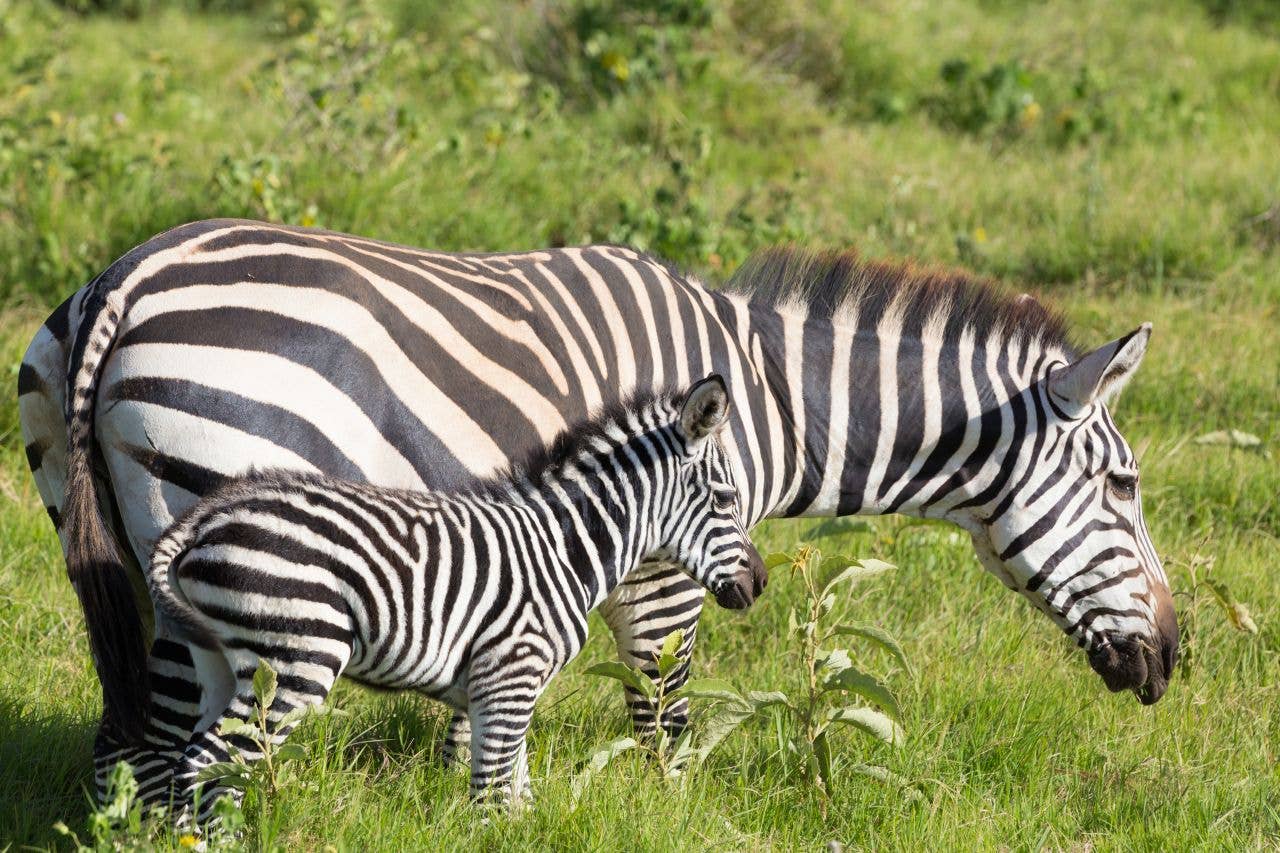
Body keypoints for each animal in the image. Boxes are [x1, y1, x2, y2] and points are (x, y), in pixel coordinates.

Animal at [142, 376, 760, 814]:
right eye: (726, 498)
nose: (760, 583)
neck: (565, 548)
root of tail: (205, 518)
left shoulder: (508, 689)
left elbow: (518, 795)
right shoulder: (510, 675)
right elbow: (490, 798)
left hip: (222, 662)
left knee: (193, 763)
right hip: (294, 659)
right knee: (215, 765)